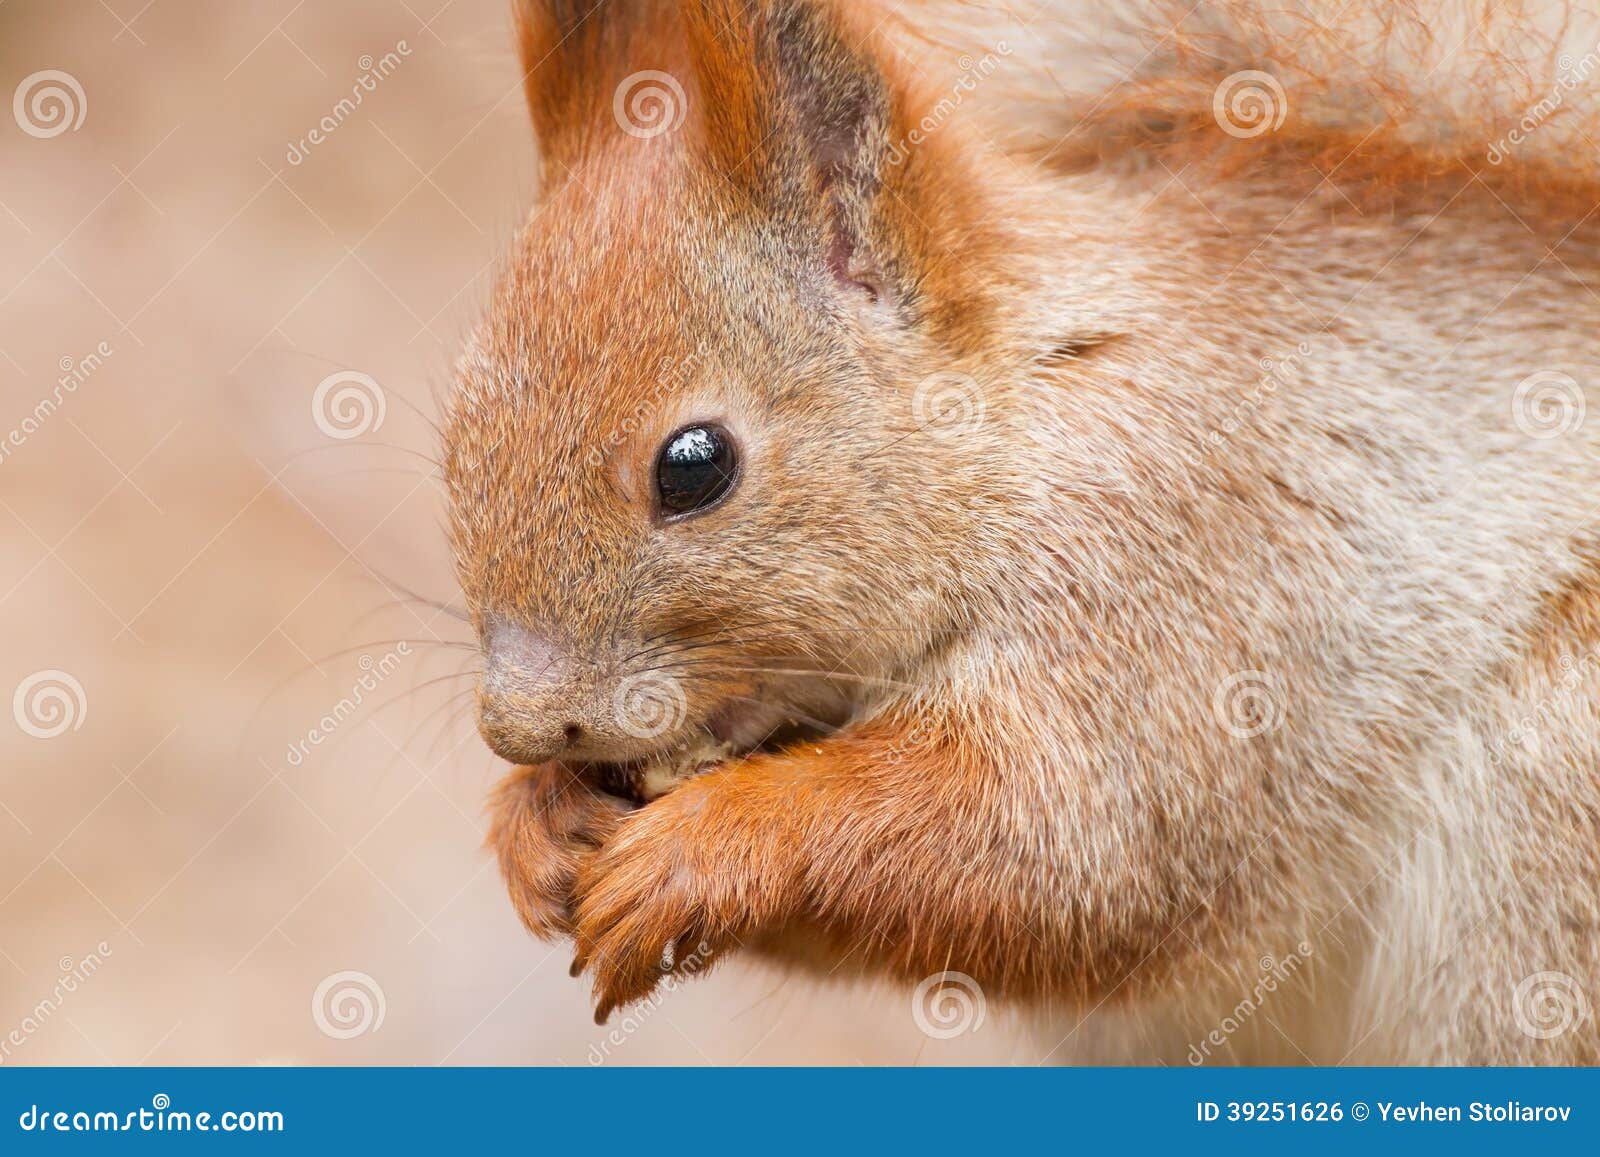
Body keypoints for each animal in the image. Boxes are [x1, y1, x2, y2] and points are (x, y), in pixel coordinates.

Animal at [445, 0, 1600, 1062]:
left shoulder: (1178, 563)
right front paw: (534, 824)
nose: (523, 726)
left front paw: (706, 846)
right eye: (453, 427)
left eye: (694, 465)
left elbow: (1066, 853)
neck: (1016, 425)